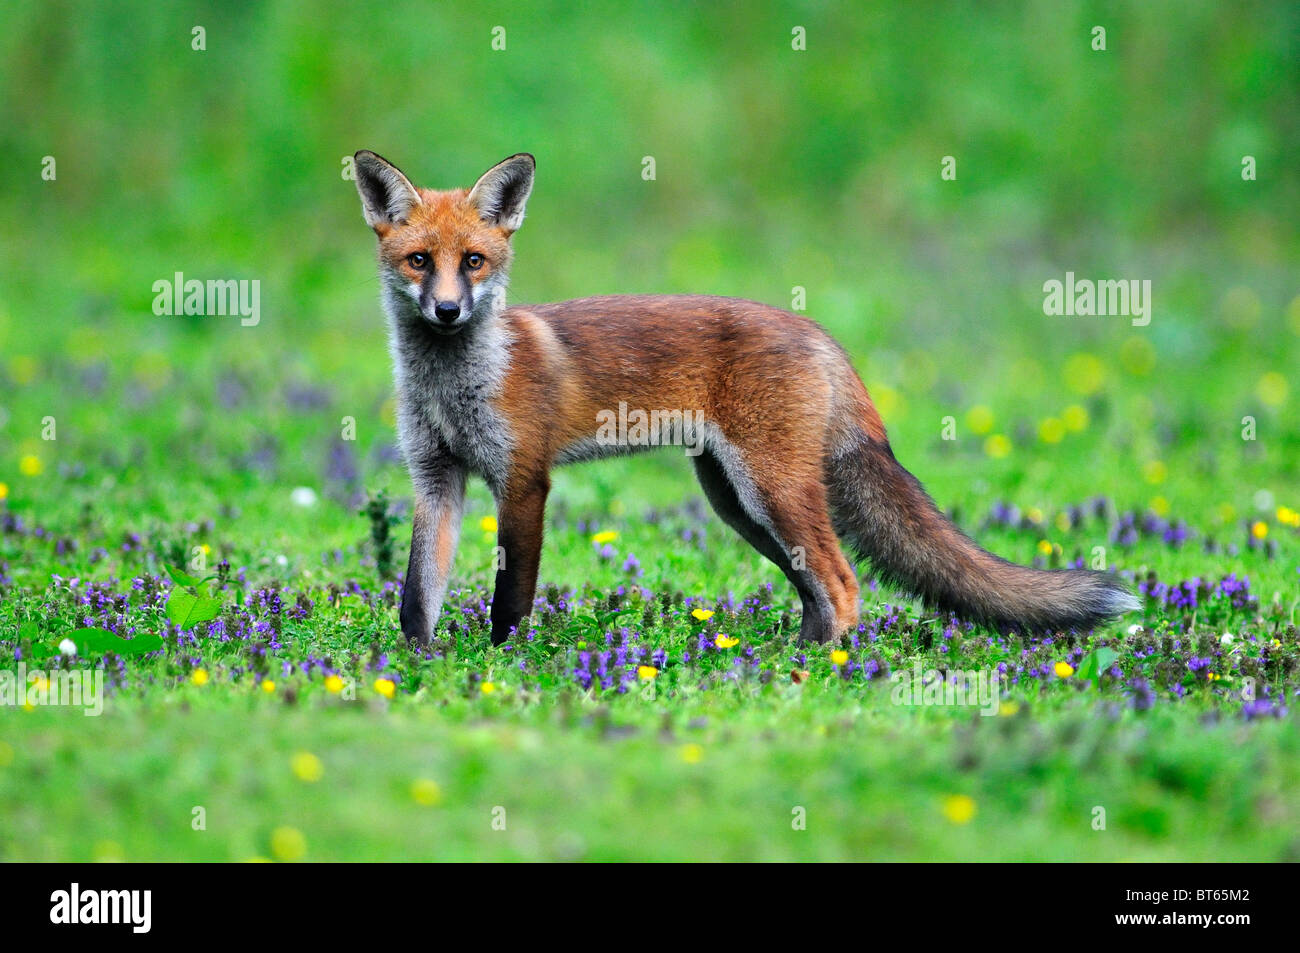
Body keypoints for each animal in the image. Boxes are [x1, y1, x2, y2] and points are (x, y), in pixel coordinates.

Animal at [353, 150, 1140, 647]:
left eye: (474, 261)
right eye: (419, 261)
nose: (448, 311)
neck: (454, 382)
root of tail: (819, 332)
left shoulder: (523, 480)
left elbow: (509, 597)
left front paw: (501, 667)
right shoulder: (437, 478)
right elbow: (416, 593)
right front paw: (416, 666)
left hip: (772, 487)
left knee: (844, 583)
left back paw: (816, 669)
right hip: (738, 500)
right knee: (817, 588)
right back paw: (787, 657)